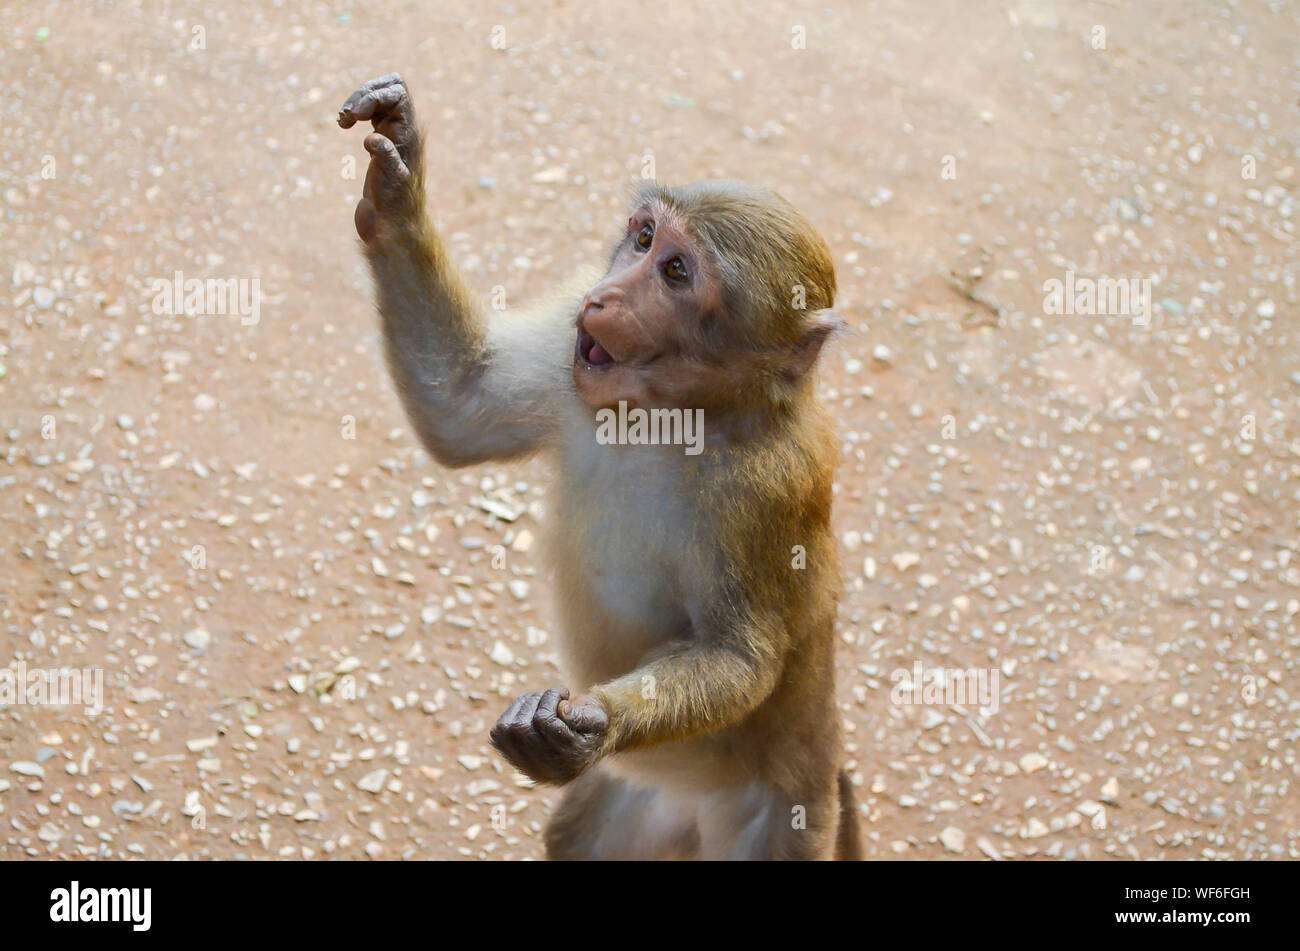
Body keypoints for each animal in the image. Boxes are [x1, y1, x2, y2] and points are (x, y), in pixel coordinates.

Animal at [339, 73, 861, 860]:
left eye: (676, 273)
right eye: (644, 239)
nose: (605, 297)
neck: (674, 418)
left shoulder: (772, 488)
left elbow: (740, 659)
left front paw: (590, 726)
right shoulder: (569, 344)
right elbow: (461, 404)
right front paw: (398, 181)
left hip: (784, 820)